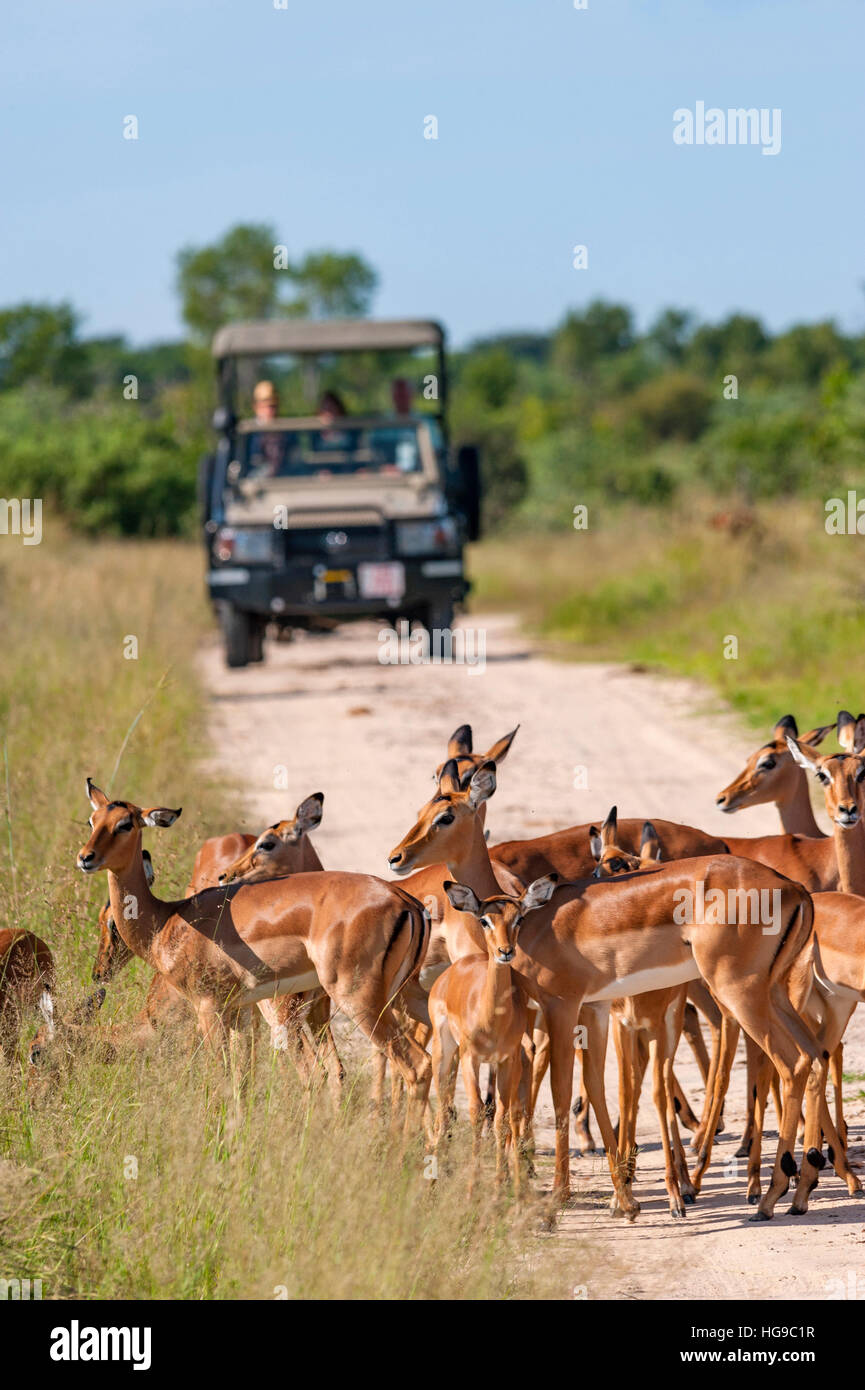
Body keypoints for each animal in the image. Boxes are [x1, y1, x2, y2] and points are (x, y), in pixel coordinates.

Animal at [77, 780, 431, 1123]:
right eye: (93, 820)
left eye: (125, 824)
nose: (85, 857)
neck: (168, 920)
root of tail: (406, 902)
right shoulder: (240, 1012)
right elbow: (241, 1078)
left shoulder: (209, 1008)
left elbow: (220, 1076)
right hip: (406, 996)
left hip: (357, 1001)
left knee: (412, 1065)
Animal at [429, 874, 558, 1195]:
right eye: (485, 920)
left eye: (519, 918)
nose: (505, 951)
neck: (491, 1019)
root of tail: (446, 977)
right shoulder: (470, 1058)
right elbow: (476, 1112)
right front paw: (472, 1188)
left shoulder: (506, 1059)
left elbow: (500, 1117)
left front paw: (500, 1184)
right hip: (444, 1051)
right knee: (443, 1107)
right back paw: (435, 1178)